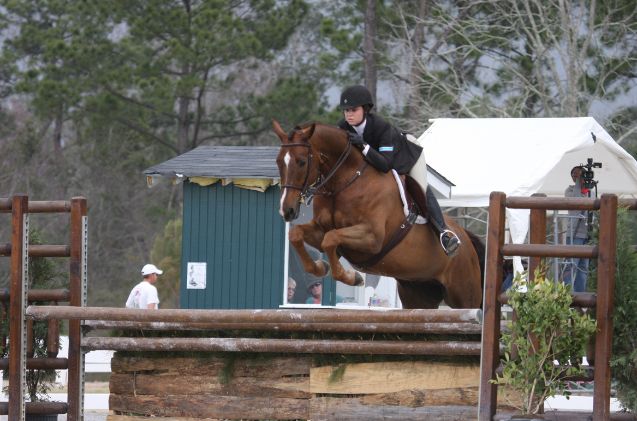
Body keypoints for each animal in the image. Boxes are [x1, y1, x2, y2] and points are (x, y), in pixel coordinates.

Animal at [270, 120, 484, 306]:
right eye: (278, 162)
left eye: (301, 162)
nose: (286, 210)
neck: (345, 180)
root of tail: (467, 239)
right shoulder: (321, 230)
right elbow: (297, 234)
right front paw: (321, 267)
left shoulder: (372, 238)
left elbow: (331, 239)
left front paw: (353, 277)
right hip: (418, 292)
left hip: (464, 294)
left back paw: (449, 240)